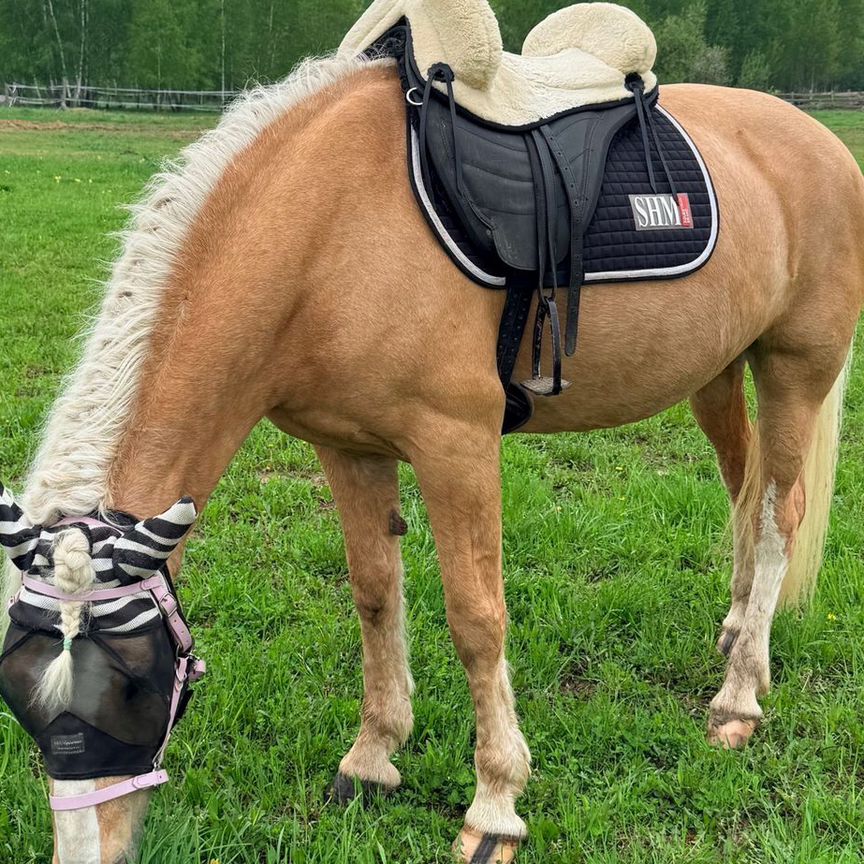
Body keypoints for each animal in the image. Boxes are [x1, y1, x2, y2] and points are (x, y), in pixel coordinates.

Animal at [1, 48, 862, 864]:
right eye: (19, 696)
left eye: (137, 687)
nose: (85, 849)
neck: (326, 230)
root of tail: (818, 139)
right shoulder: (346, 447)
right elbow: (376, 597)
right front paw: (373, 757)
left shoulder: (458, 442)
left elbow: (477, 620)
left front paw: (495, 804)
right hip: (718, 372)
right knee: (745, 492)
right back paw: (741, 635)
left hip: (795, 367)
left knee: (781, 513)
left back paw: (739, 697)